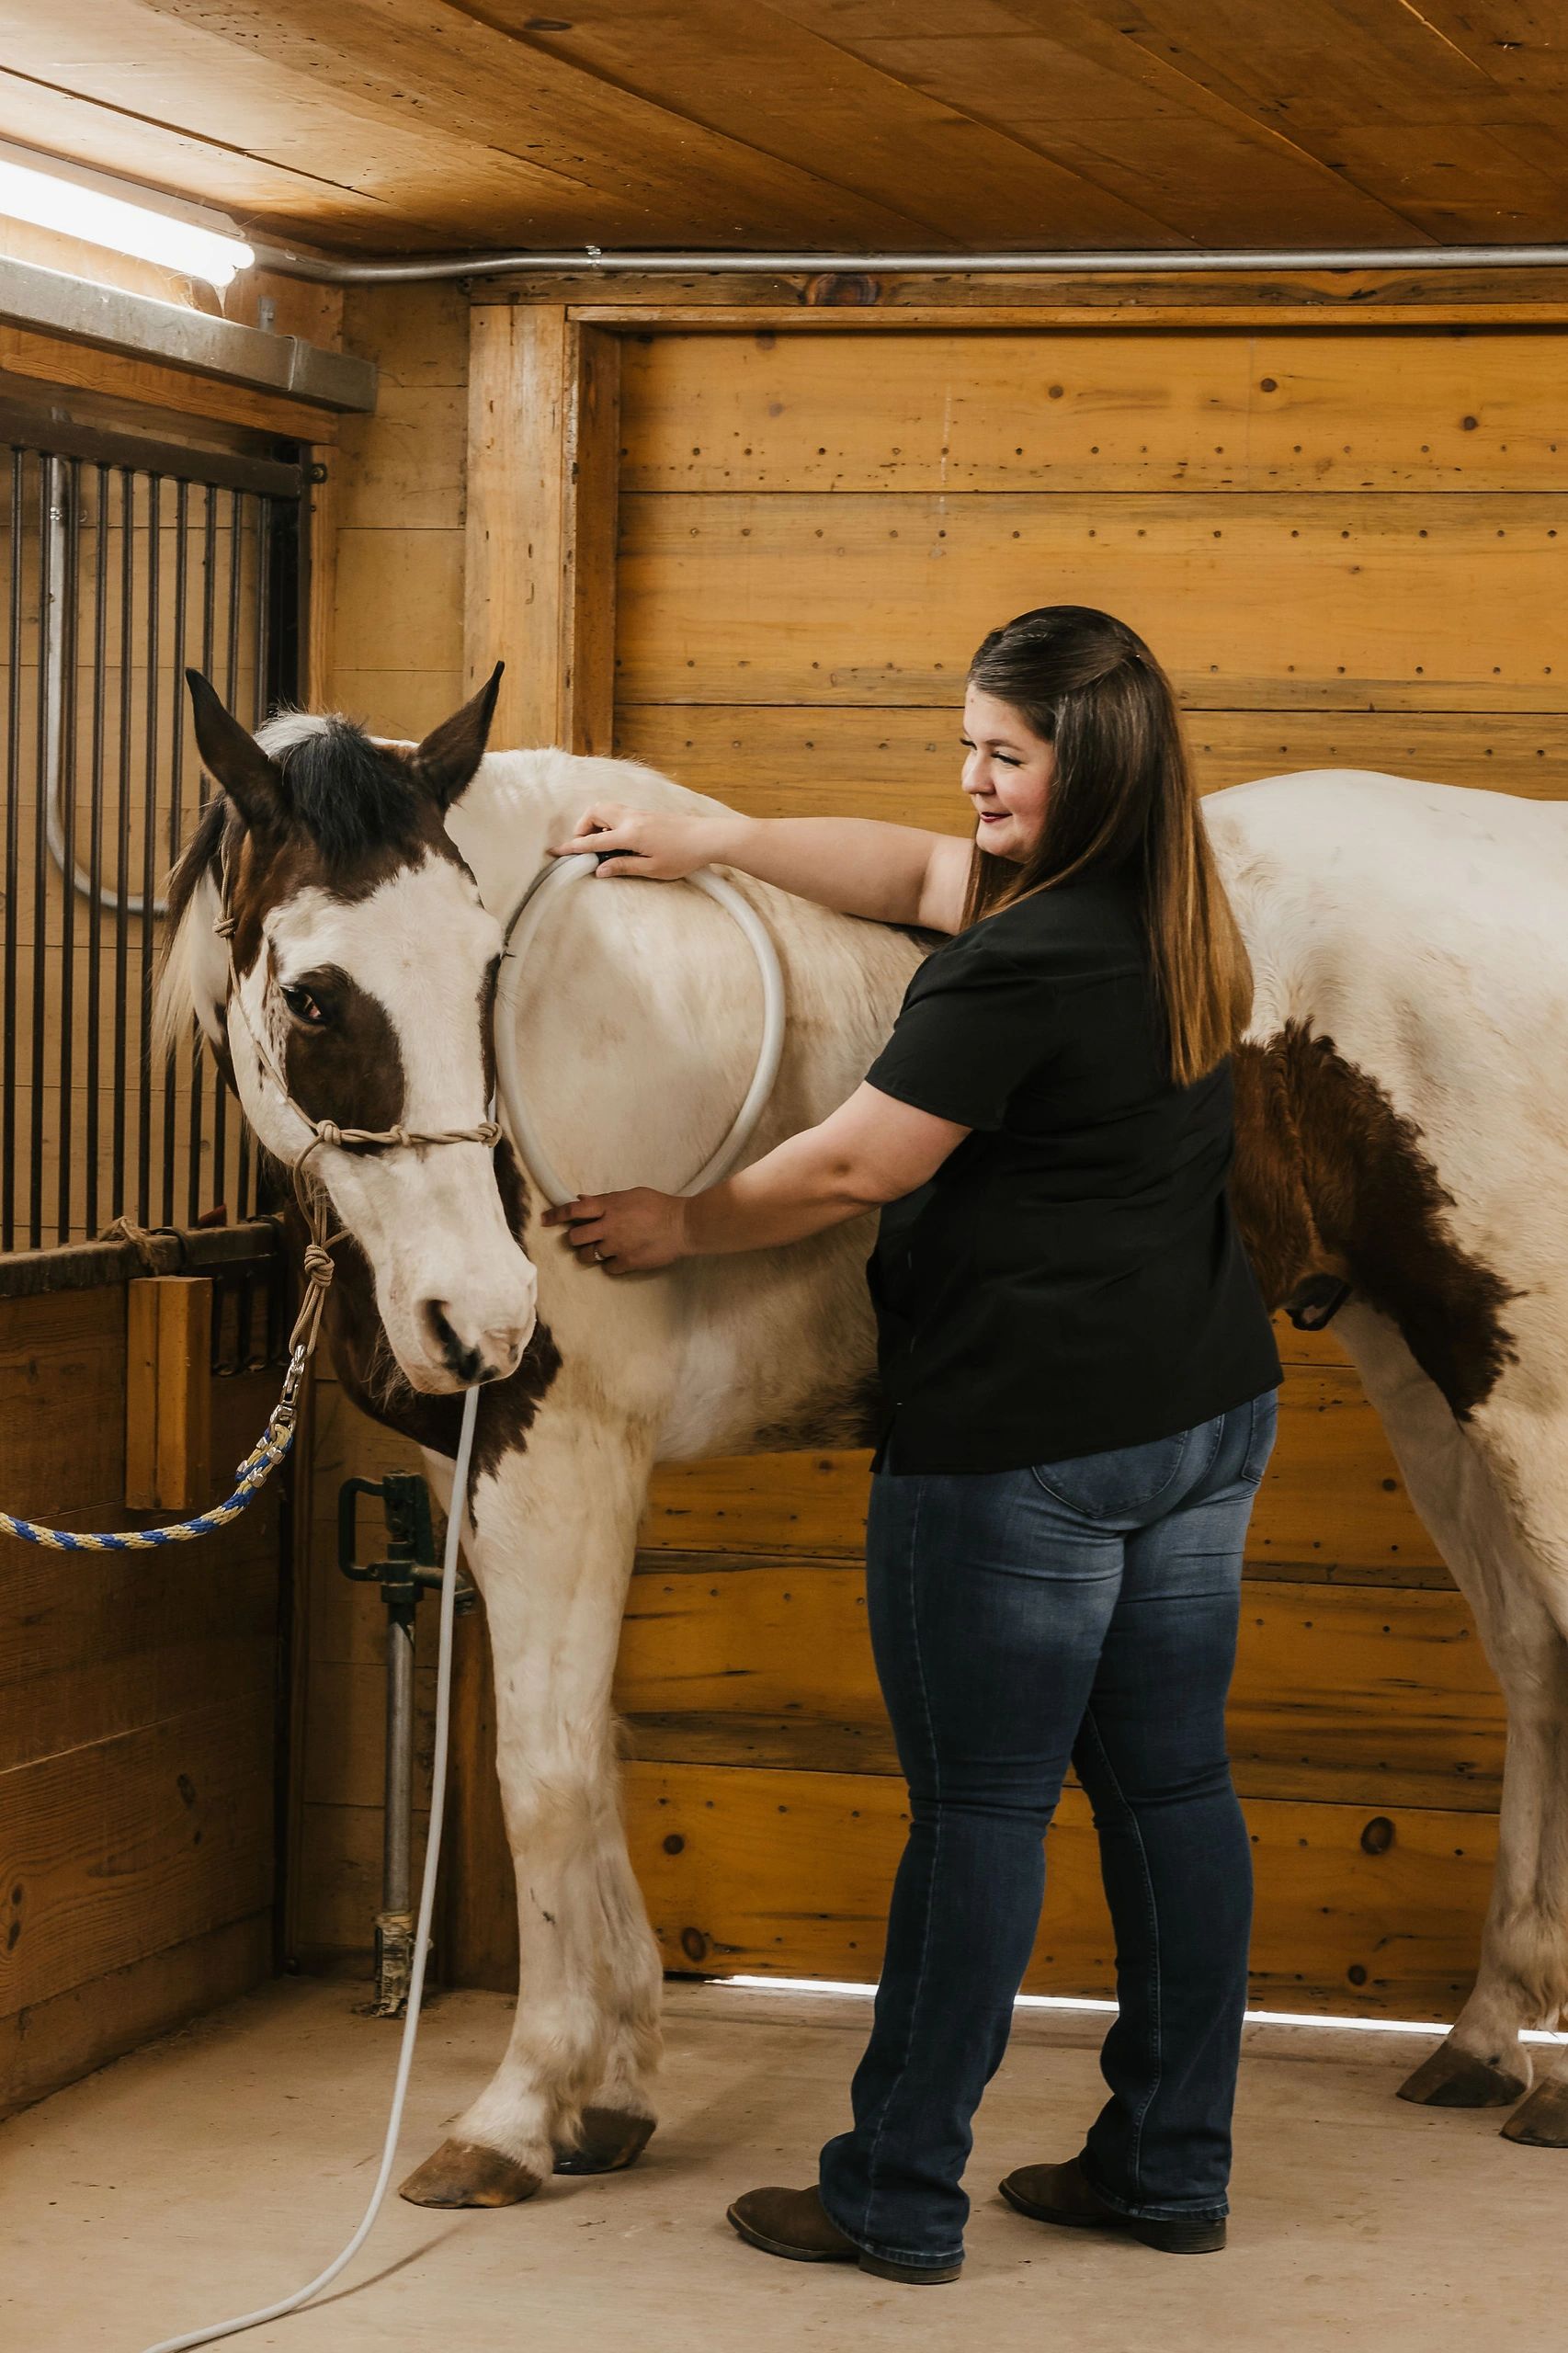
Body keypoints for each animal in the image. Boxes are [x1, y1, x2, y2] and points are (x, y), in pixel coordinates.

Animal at [158, 672, 1568, 2205]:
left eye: (485, 974)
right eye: (312, 995)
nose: (484, 1313)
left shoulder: (563, 1460)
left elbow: (542, 1774)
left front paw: (517, 2115)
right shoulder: (474, 1454)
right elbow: (590, 1756)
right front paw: (613, 2094)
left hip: (1526, 1398)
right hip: (1426, 1377)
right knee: (1532, 1665)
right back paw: (1487, 2036)